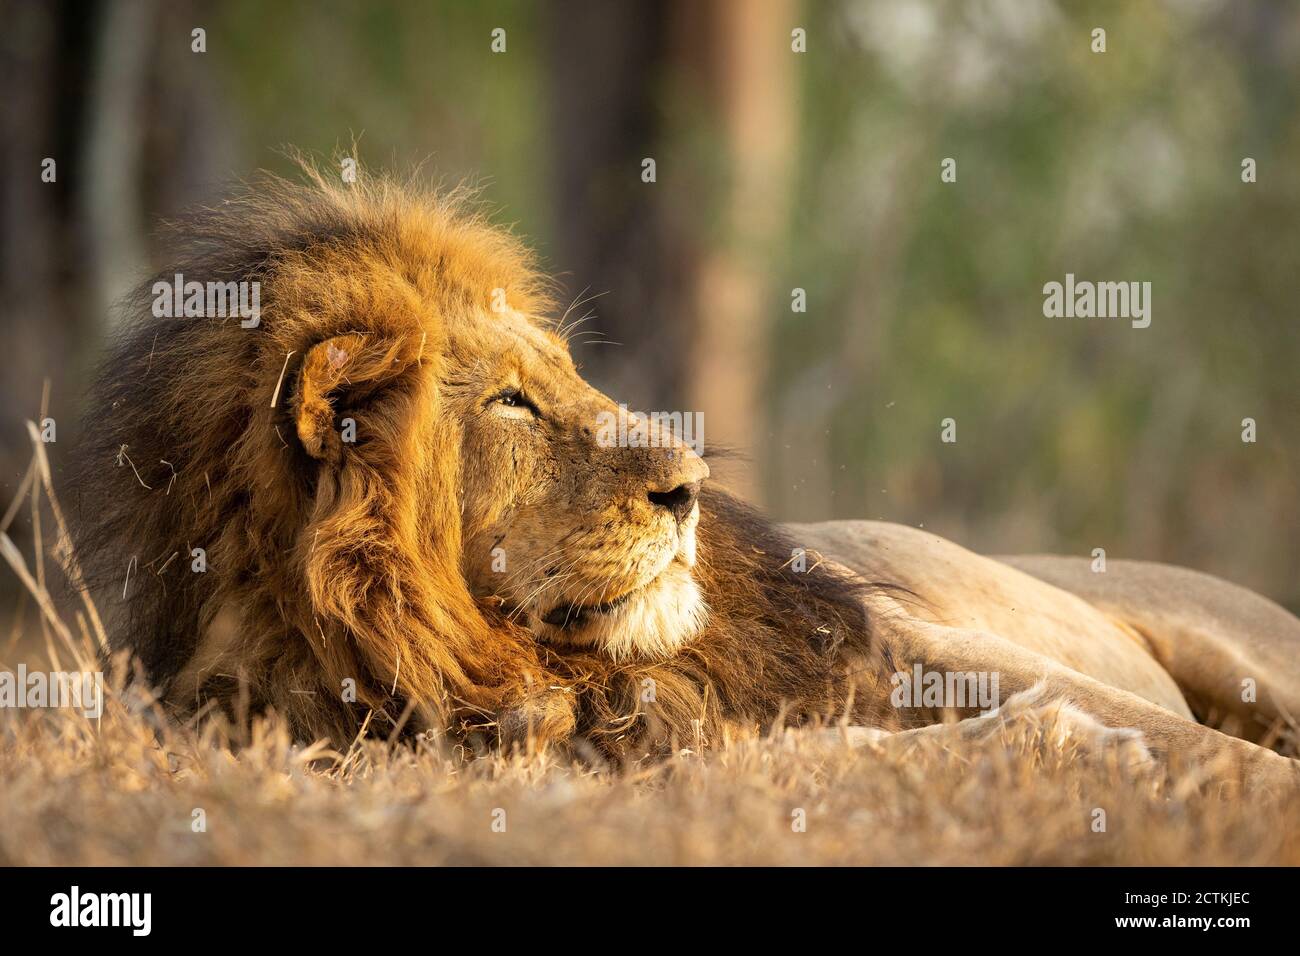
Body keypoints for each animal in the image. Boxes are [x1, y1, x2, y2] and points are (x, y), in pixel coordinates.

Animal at [67, 166, 1300, 791]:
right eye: (509, 402)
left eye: (567, 373)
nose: (689, 485)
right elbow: (779, 763)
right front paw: (1056, 751)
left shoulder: (895, 641)